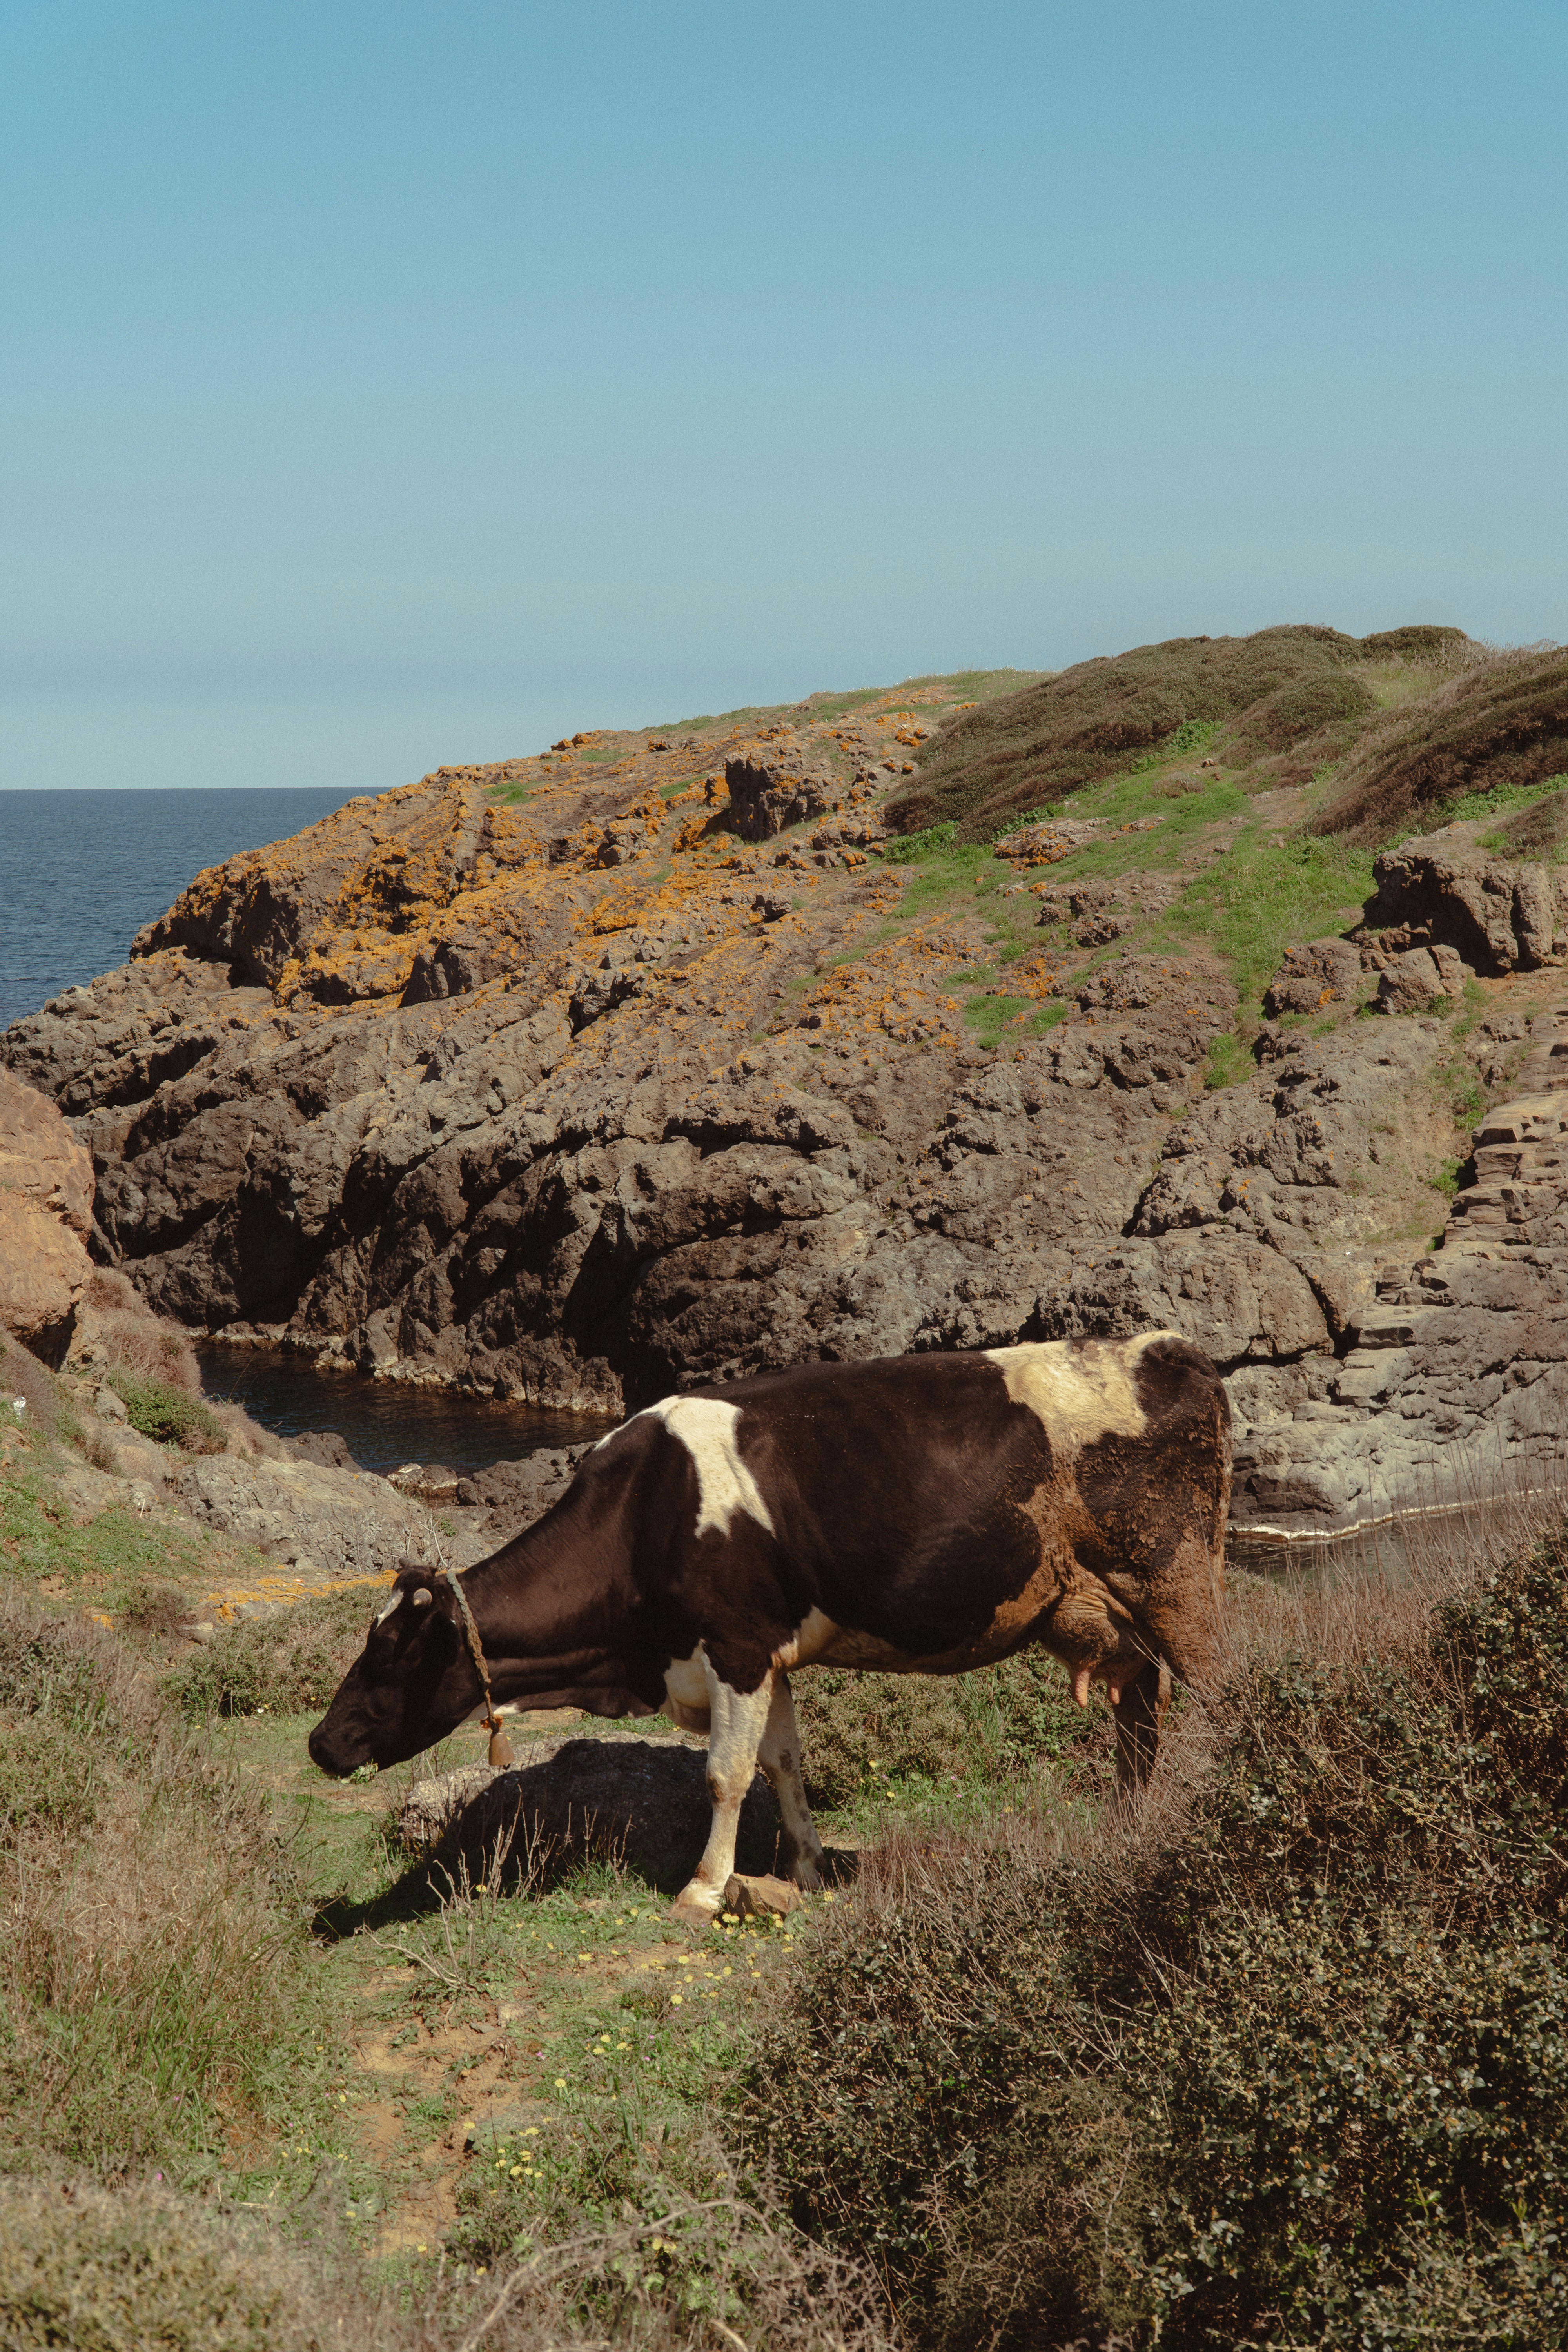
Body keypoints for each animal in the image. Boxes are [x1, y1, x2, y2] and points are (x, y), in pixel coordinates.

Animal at [308, 1332, 1230, 1923]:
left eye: (391, 1654)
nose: (321, 1743)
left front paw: (705, 1888)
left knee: (1220, 1700)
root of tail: (1166, 1348)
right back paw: (1126, 1826)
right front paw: (805, 1871)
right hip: (1124, 1611)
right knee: (1138, 1716)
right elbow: (784, 1763)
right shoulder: (767, 1656)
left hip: (1178, 1585)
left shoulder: (737, 1647)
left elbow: (725, 1773)